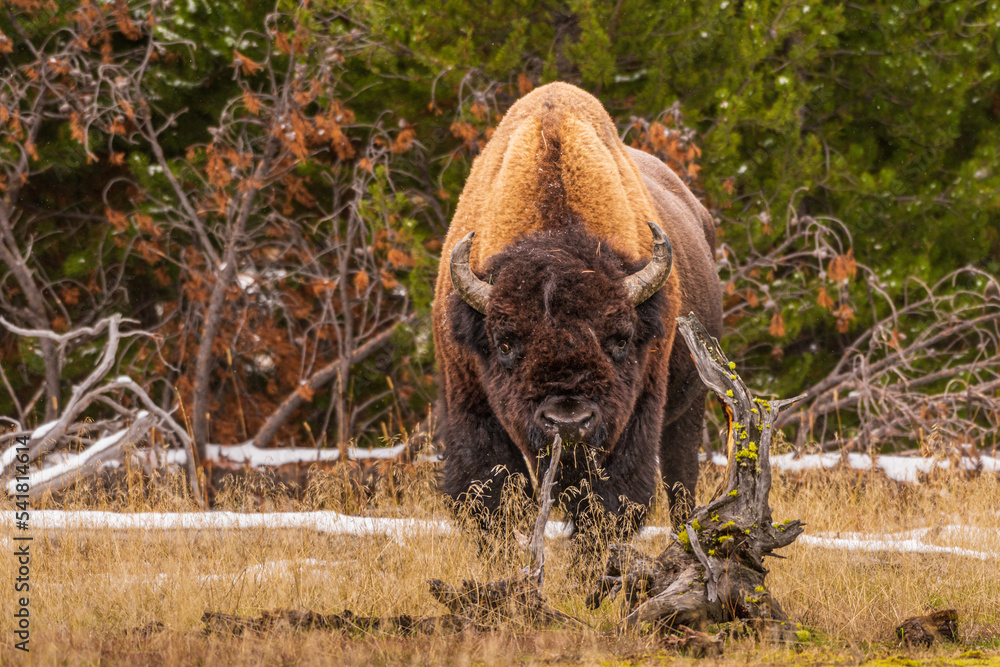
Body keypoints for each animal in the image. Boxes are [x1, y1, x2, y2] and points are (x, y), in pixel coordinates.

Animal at [433, 82, 722, 544]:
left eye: (620, 339)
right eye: (505, 343)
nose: (567, 422)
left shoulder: (636, 415)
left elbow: (610, 505)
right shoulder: (470, 406)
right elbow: (492, 499)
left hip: (690, 407)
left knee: (681, 485)